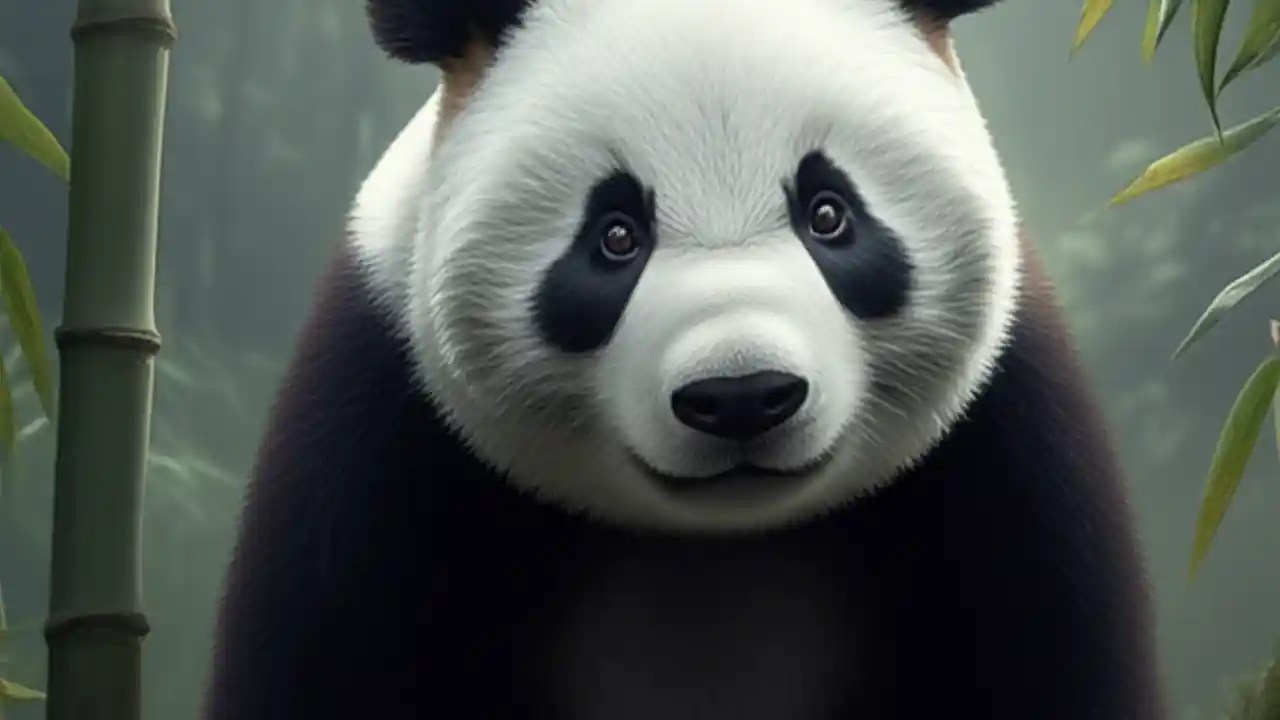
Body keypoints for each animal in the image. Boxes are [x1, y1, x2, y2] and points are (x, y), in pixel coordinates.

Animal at [202, 0, 1167, 717]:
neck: (714, 546)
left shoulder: (1011, 448)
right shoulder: (373, 442)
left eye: (830, 214)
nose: (742, 395)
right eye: (615, 237)